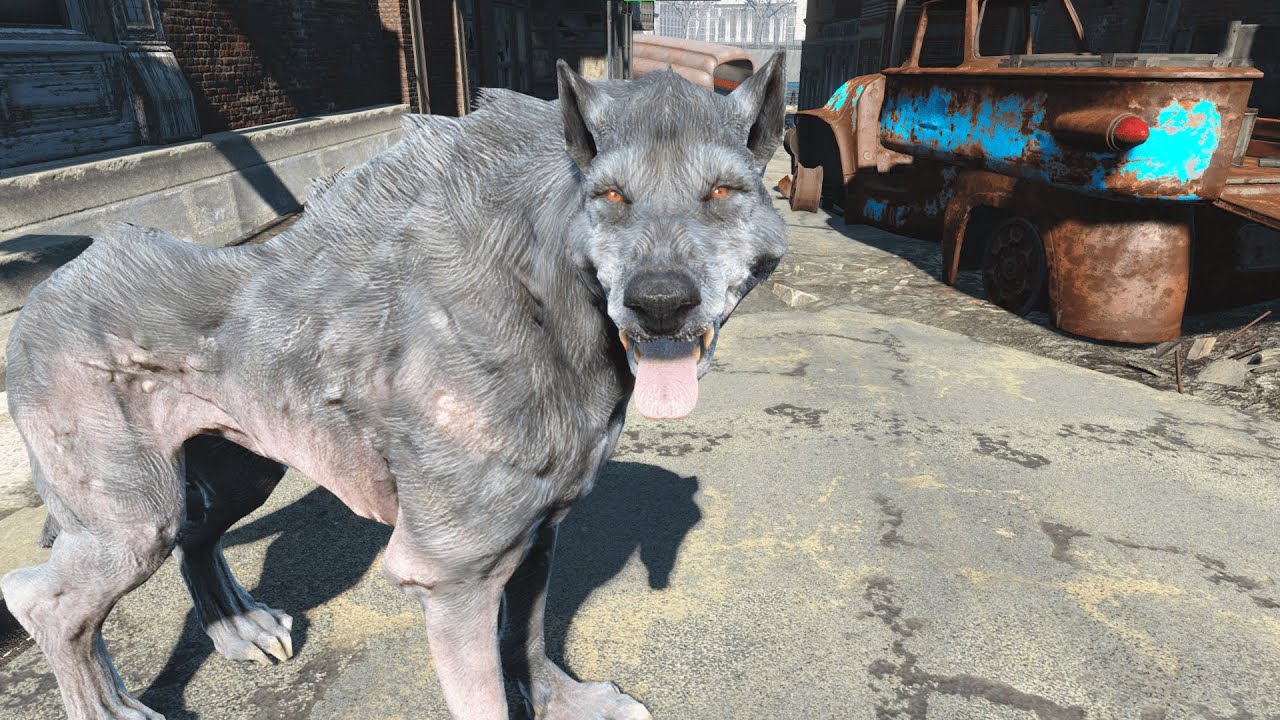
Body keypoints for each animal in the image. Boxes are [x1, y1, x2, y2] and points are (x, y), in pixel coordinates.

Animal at [0, 53, 788, 720]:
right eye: (610, 196)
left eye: (724, 192)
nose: (661, 304)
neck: (541, 300)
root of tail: (52, 283)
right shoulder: (450, 575)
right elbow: (485, 690)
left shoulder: (535, 532)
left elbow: (527, 639)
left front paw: (564, 703)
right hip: (128, 523)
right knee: (46, 604)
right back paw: (108, 707)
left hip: (241, 466)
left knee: (195, 533)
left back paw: (240, 630)